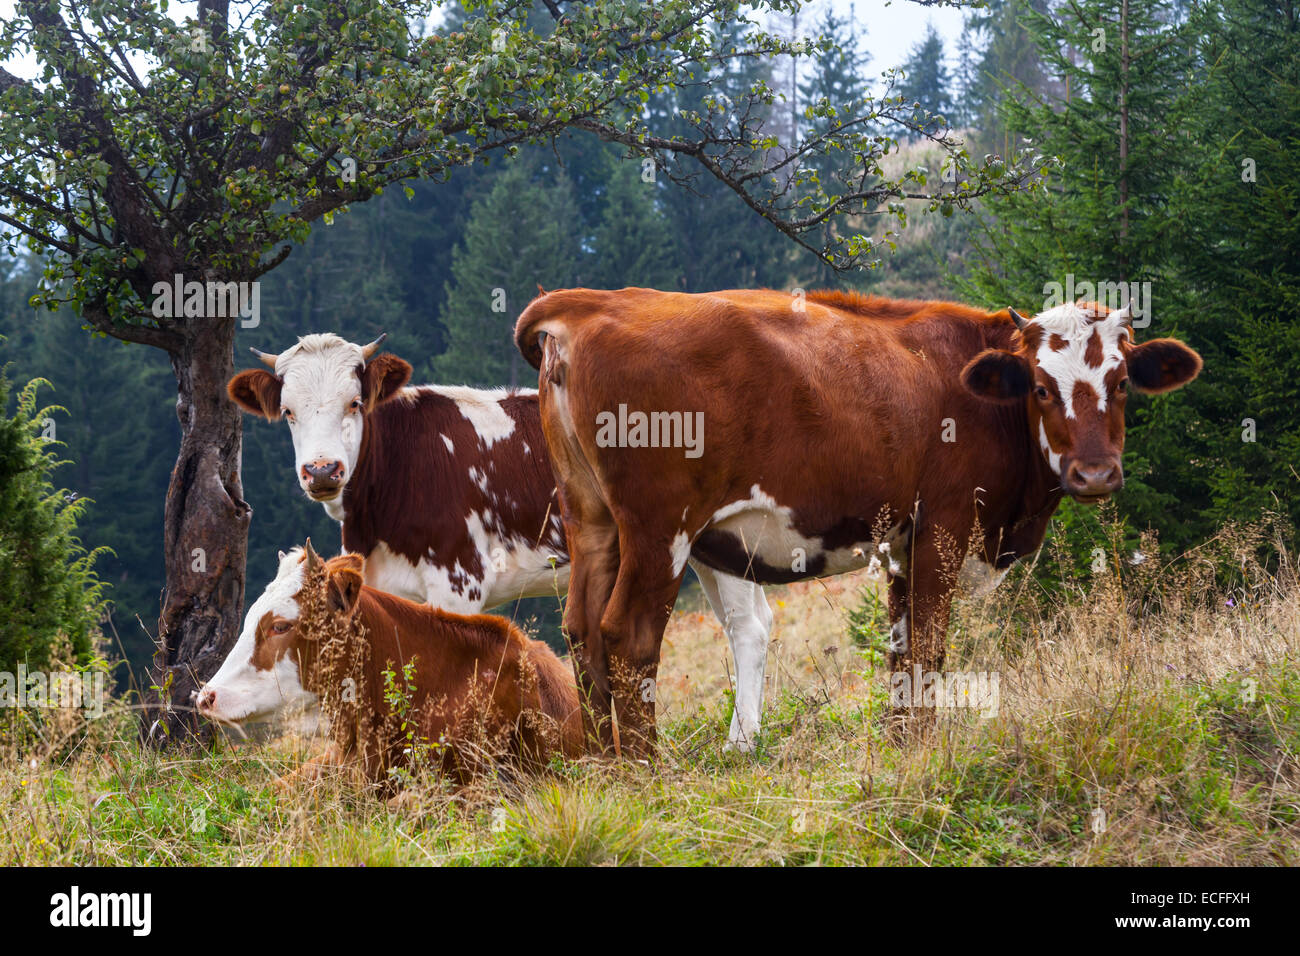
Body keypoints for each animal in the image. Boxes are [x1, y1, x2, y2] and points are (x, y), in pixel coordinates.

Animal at [226, 334, 774, 752]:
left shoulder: (457, 581)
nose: (322, 470)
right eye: (289, 412)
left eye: (354, 403)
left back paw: (741, 743)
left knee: (746, 626)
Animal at [514, 289, 1203, 756]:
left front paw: (902, 745)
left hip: (593, 521)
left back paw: (606, 766)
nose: (1095, 474)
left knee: (581, 630)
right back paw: (645, 769)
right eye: (1039, 386)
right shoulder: (944, 527)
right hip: (661, 531)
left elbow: (900, 648)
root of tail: (600, 302)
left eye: (1121, 382)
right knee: (627, 635)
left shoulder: (900, 543)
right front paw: (924, 749)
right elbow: (928, 644)